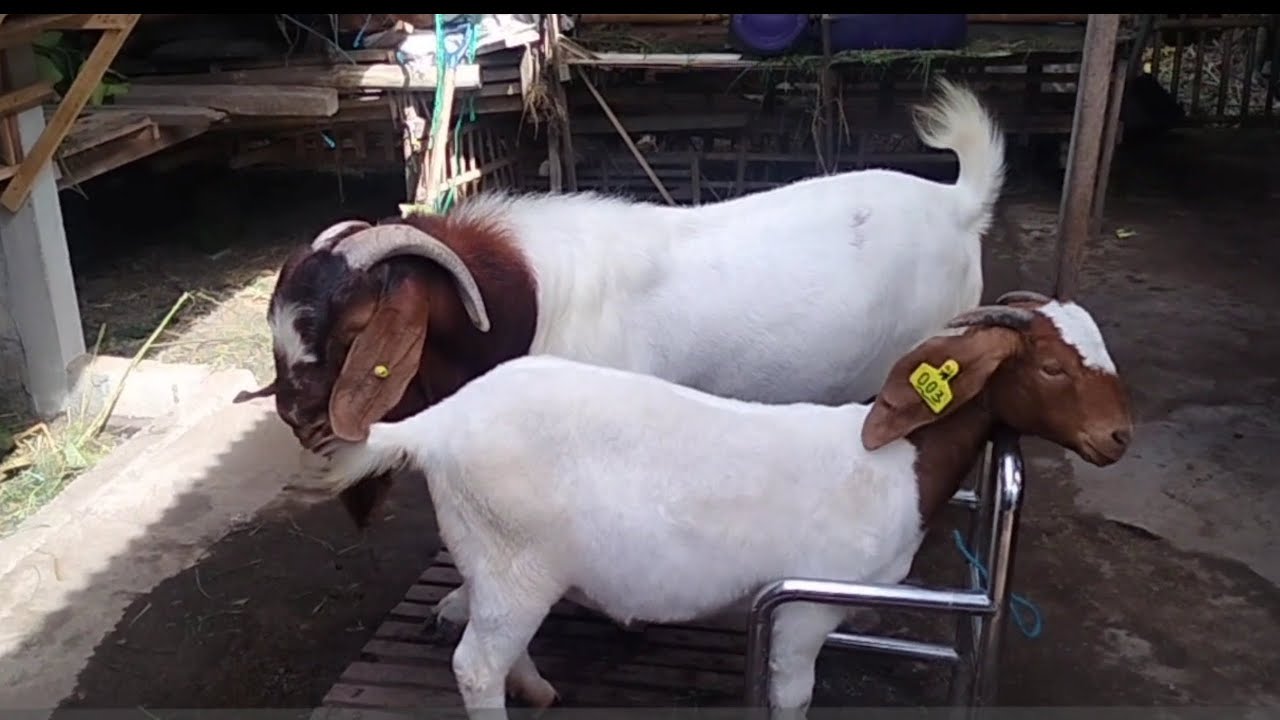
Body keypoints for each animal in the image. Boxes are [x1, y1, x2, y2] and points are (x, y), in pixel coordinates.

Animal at [301, 291, 1134, 716]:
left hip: (494, 555)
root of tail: (437, 424)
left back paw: (536, 688)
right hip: (516, 557)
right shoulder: (807, 610)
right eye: (1053, 367)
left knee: (493, 640)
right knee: (475, 666)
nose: (1119, 437)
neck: (891, 463)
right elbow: (793, 694)